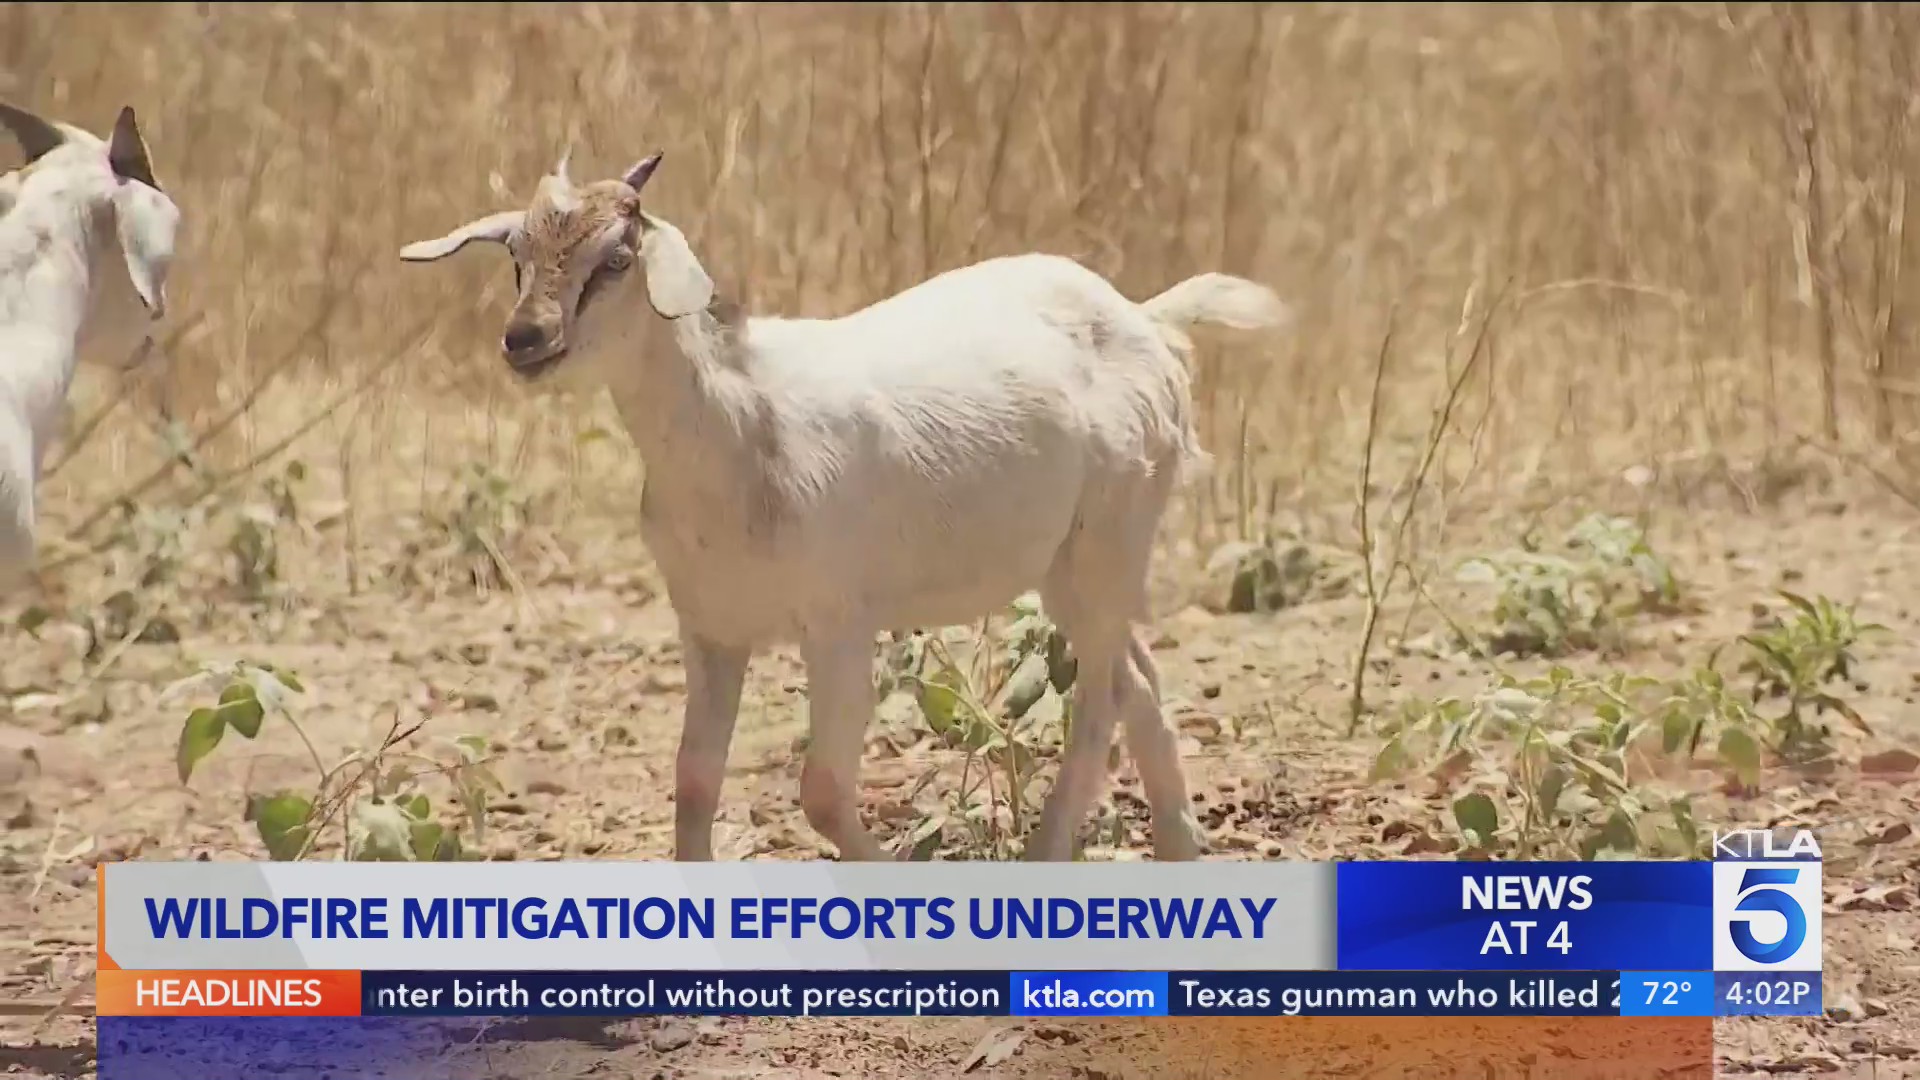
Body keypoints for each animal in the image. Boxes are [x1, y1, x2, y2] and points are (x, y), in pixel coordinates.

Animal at [399, 151, 1288, 862]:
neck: (740, 426)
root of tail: (1146, 321)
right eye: (517, 257)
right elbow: (695, 781)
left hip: (1105, 542)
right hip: (1075, 569)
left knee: (1102, 701)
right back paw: (1177, 854)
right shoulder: (712, 628)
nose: (525, 340)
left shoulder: (838, 626)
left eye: (616, 258)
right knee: (1140, 681)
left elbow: (823, 793)